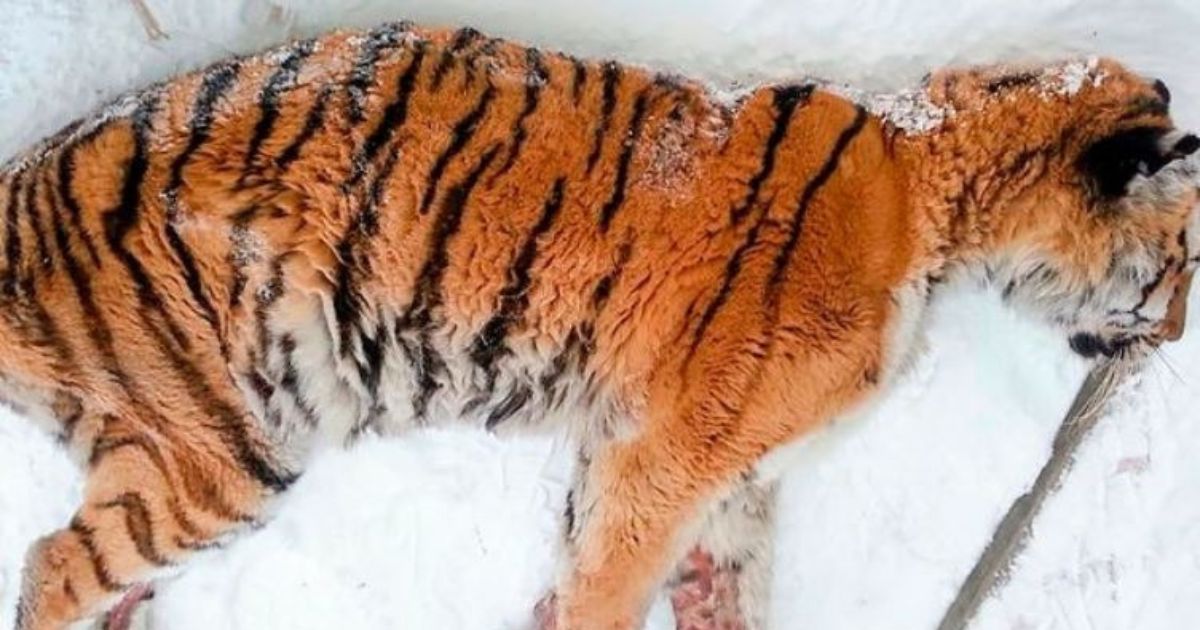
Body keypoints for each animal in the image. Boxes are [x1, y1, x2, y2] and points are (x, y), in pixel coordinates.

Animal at [0, 18, 1196, 630]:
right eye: (1183, 264)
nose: (1180, 340)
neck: (939, 198)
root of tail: (19, 187)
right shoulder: (670, 450)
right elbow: (612, 577)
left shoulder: (722, 464)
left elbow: (724, 573)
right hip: (227, 443)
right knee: (53, 564)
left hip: (170, 440)